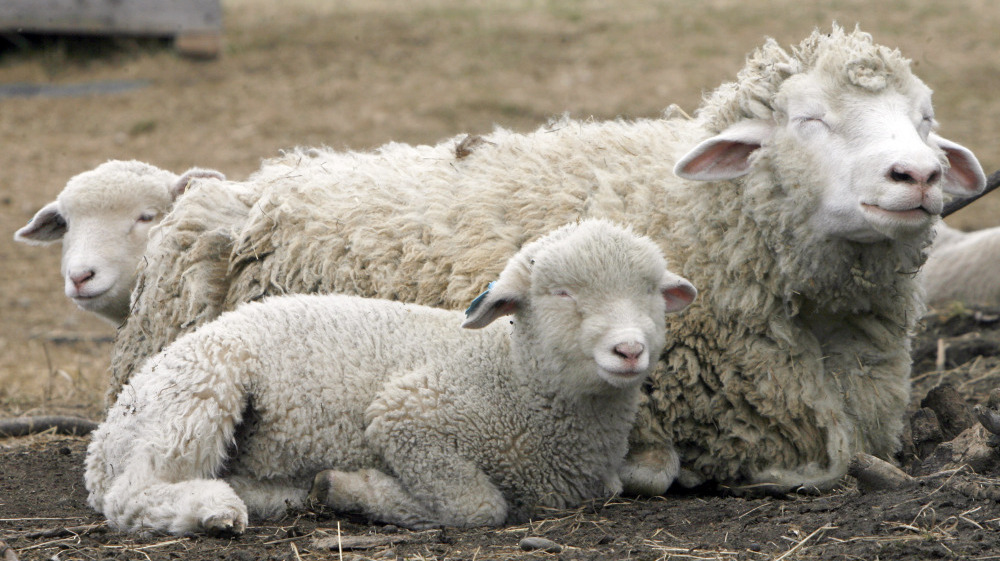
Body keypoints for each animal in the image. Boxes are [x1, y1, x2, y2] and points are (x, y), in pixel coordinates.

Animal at [84, 219, 697, 535]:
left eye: (651, 292)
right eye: (561, 293)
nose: (629, 349)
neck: (515, 379)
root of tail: (103, 438)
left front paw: (340, 488)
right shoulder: (407, 412)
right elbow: (476, 506)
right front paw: (361, 489)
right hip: (204, 390)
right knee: (131, 495)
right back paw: (214, 510)